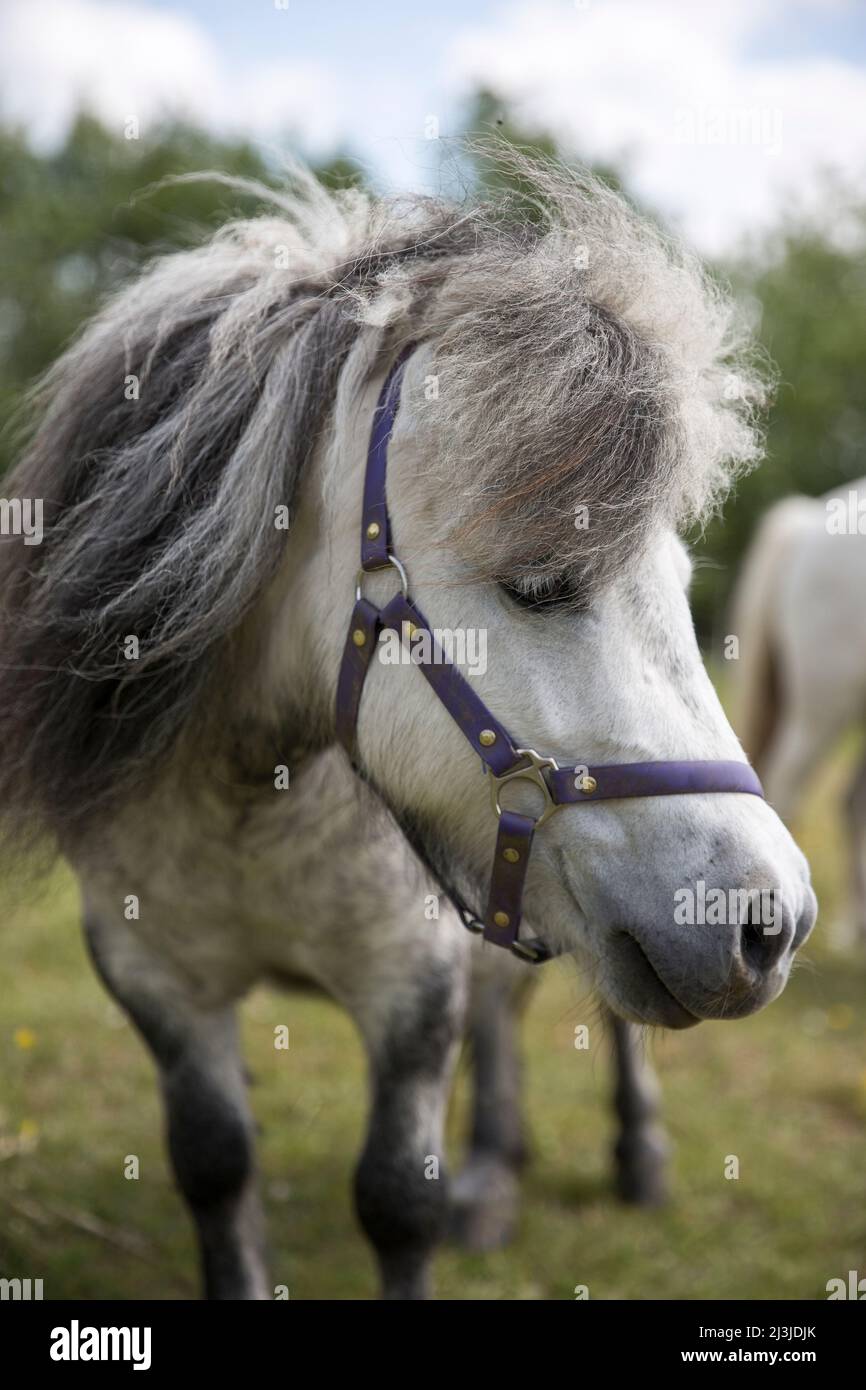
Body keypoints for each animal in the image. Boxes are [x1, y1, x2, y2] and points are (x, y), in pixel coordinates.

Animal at [0, 153, 816, 1299]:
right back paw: (495, 1168)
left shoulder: (410, 986)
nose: (770, 920)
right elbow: (216, 1168)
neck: (249, 799)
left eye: (676, 584)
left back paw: (632, 1153)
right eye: (539, 583)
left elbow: (396, 1198)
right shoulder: (159, 980)